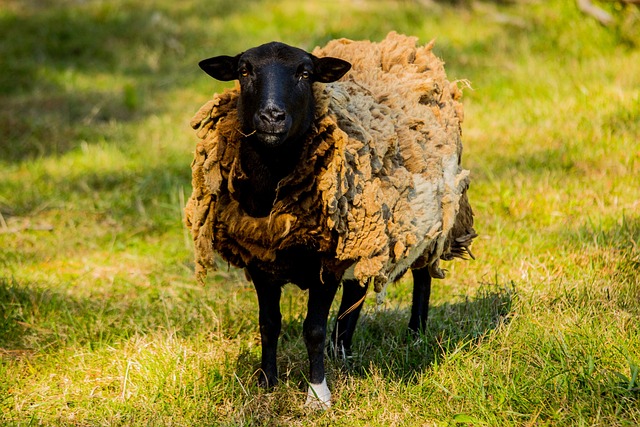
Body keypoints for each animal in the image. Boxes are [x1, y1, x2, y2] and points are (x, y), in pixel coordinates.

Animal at [185, 32, 476, 409]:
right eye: (244, 70)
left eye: (305, 73)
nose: (272, 117)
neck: (274, 190)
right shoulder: (261, 261)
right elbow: (269, 324)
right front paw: (267, 383)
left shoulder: (327, 263)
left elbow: (313, 330)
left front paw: (318, 394)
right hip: (366, 234)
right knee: (356, 289)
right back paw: (344, 349)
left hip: (429, 217)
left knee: (422, 275)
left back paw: (415, 334)